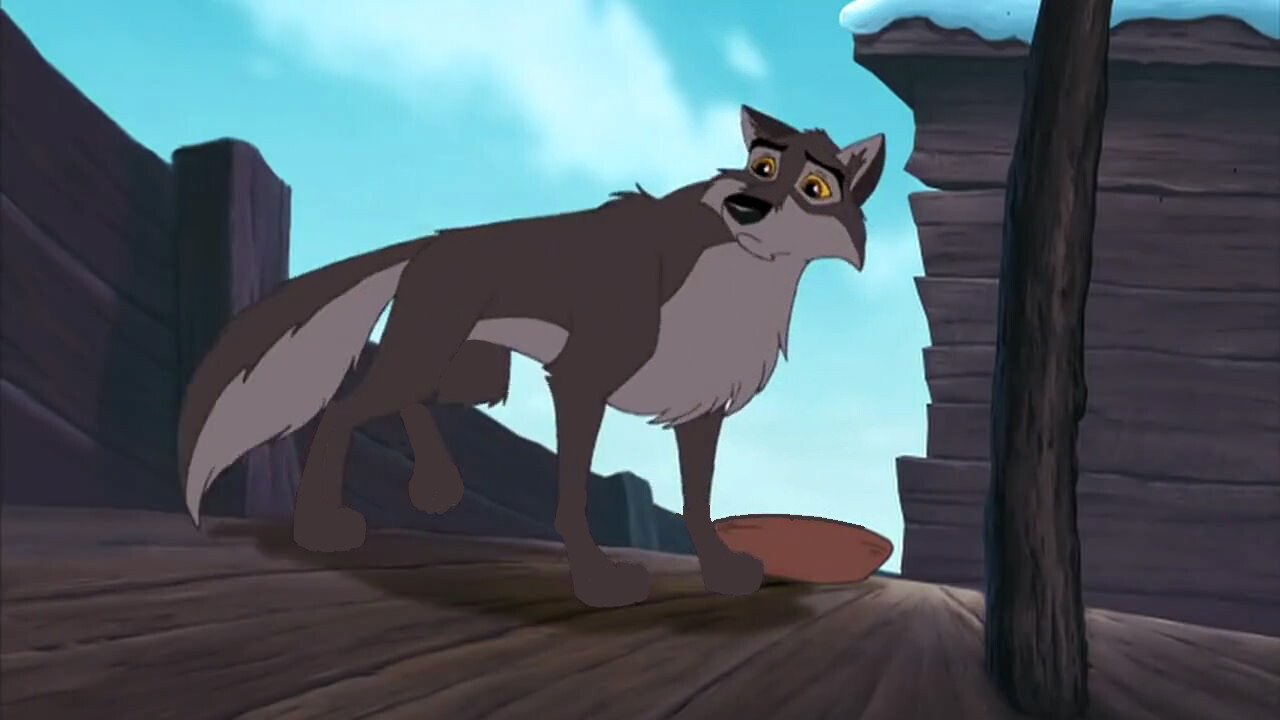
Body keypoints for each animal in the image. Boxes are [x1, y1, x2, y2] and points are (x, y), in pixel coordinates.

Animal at [179, 105, 886, 608]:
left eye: (815, 186)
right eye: (761, 168)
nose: (746, 205)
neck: (737, 282)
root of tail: (429, 242)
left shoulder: (700, 409)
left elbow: (697, 502)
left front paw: (719, 571)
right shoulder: (580, 381)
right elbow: (572, 496)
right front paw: (598, 583)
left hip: (462, 370)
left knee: (405, 403)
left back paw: (436, 486)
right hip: (433, 356)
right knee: (343, 410)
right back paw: (320, 529)